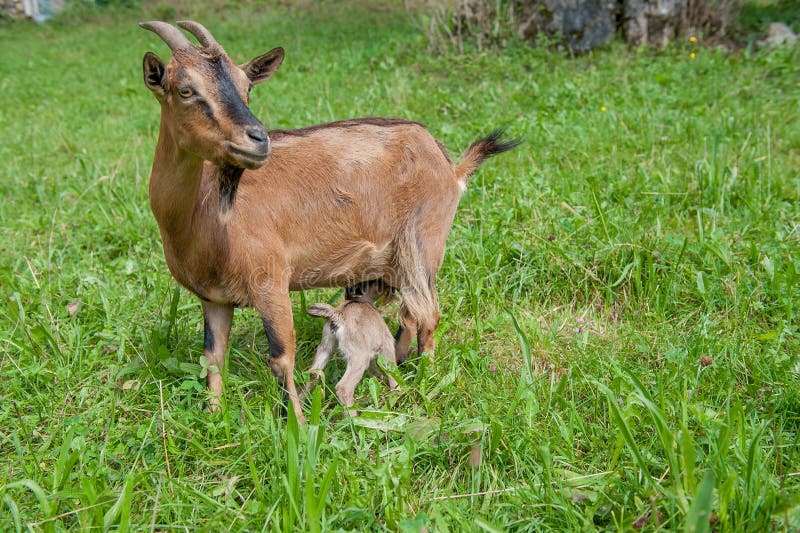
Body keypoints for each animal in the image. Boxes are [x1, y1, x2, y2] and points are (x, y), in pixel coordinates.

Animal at [138, 20, 520, 423]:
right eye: (185, 90)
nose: (258, 139)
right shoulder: (213, 298)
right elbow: (213, 357)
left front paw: (297, 424)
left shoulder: (271, 283)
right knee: (409, 315)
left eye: (247, 88)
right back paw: (401, 367)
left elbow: (281, 358)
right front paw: (214, 417)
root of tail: (450, 165)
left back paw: (424, 380)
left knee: (428, 313)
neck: (208, 218)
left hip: (424, 245)